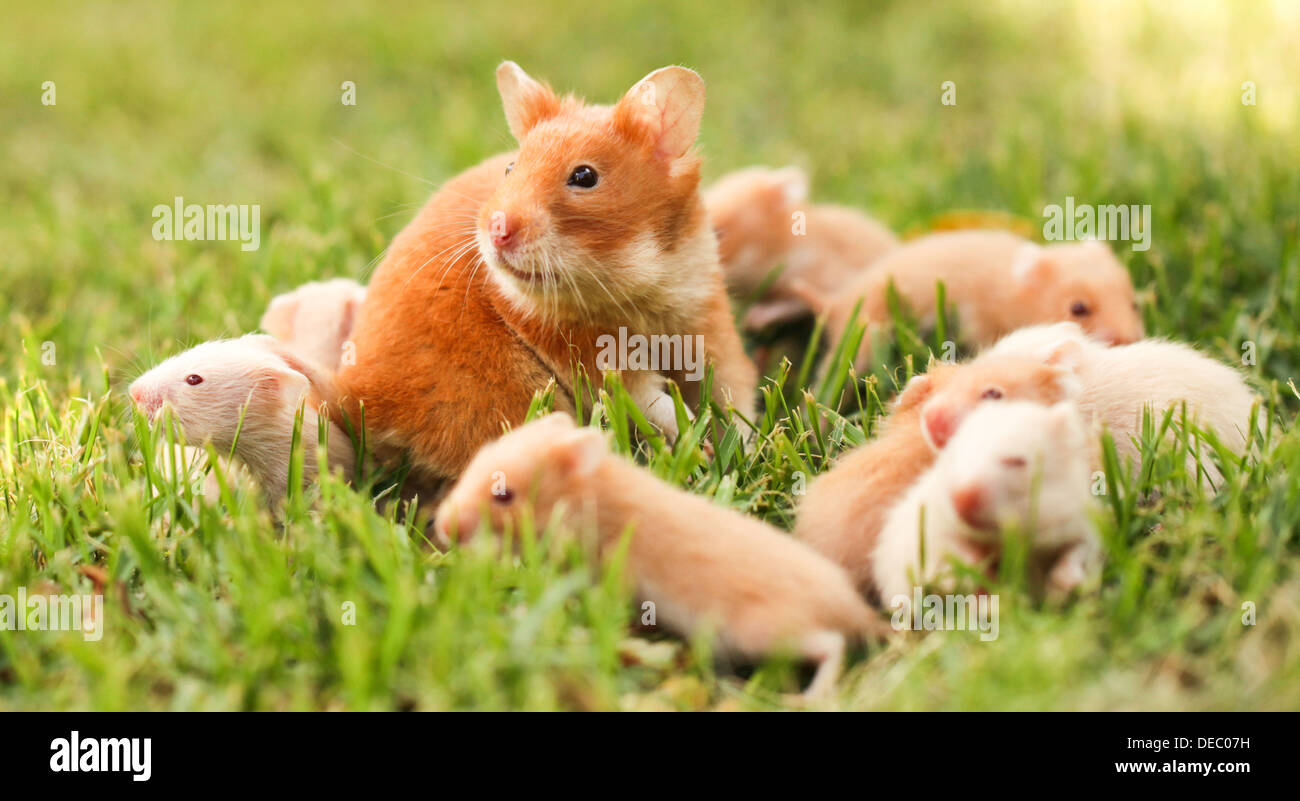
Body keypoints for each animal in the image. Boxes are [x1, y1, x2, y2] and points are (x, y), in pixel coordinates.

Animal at [337, 62, 757, 487]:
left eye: (585, 176)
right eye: (511, 168)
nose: (497, 230)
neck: (633, 278)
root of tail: (347, 398)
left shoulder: (705, 319)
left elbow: (731, 391)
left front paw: (739, 449)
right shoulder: (587, 356)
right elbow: (651, 402)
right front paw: (701, 445)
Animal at [434, 413, 890, 698]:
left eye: (504, 494)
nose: (441, 527)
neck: (591, 495)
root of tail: (855, 610)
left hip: (761, 630)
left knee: (831, 643)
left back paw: (809, 695)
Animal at [872, 401, 1099, 605]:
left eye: (1017, 461)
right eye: (953, 457)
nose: (960, 500)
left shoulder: (1081, 525)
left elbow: (1077, 552)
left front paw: (1063, 586)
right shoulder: (929, 529)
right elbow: (948, 555)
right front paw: (983, 574)